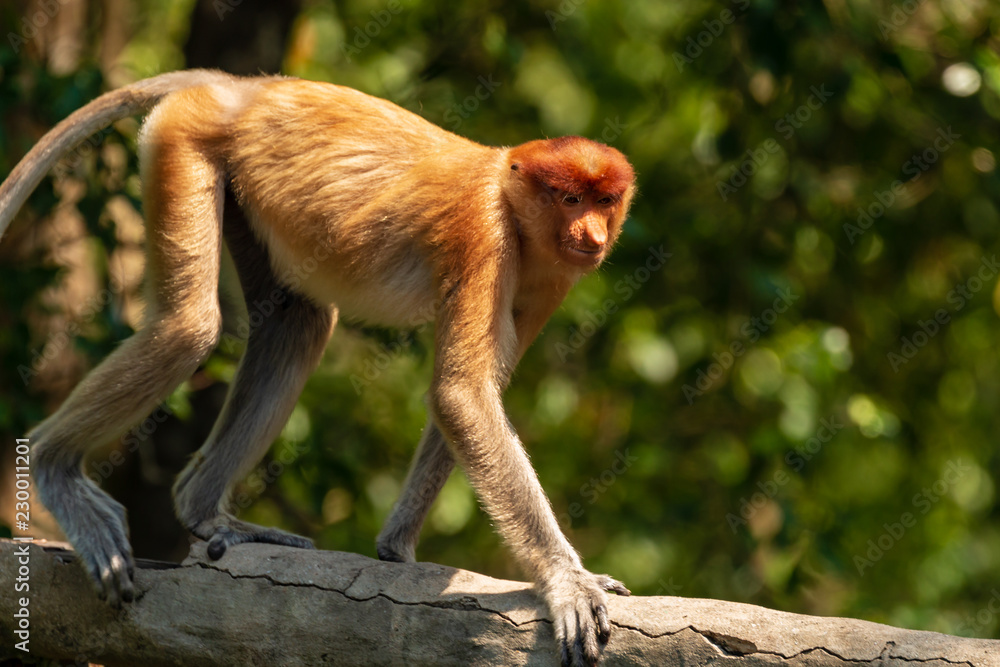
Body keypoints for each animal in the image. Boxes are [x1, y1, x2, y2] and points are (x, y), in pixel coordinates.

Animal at [0, 70, 636, 667]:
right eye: (570, 199)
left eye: (605, 201)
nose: (592, 235)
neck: (510, 191)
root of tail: (240, 90)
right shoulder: (485, 235)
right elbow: (463, 394)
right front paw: (567, 582)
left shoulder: (551, 278)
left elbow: (471, 396)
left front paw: (395, 551)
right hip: (184, 140)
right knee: (190, 327)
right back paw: (56, 469)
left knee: (296, 324)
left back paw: (206, 513)